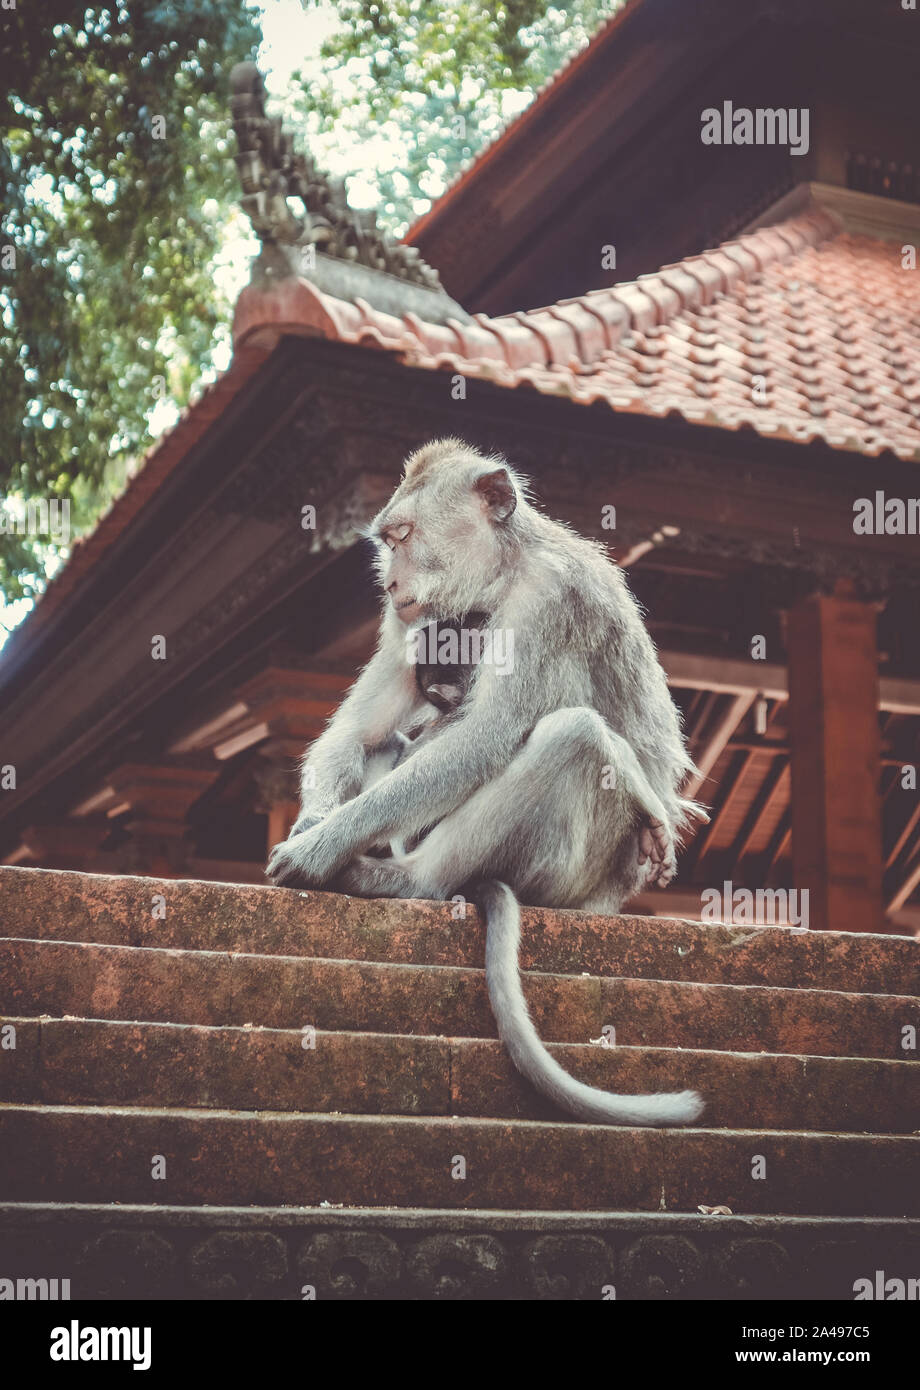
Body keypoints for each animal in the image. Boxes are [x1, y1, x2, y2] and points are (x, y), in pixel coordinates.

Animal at [268, 439, 708, 1127]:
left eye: (403, 536)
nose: (389, 582)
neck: (502, 574)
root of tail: (610, 899)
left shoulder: (551, 599)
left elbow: (487, 735)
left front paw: (318, 847)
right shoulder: (410, 623)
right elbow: (361, 733)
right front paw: (316, 824)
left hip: (571, 875)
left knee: (573, 734)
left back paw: (407, 880)